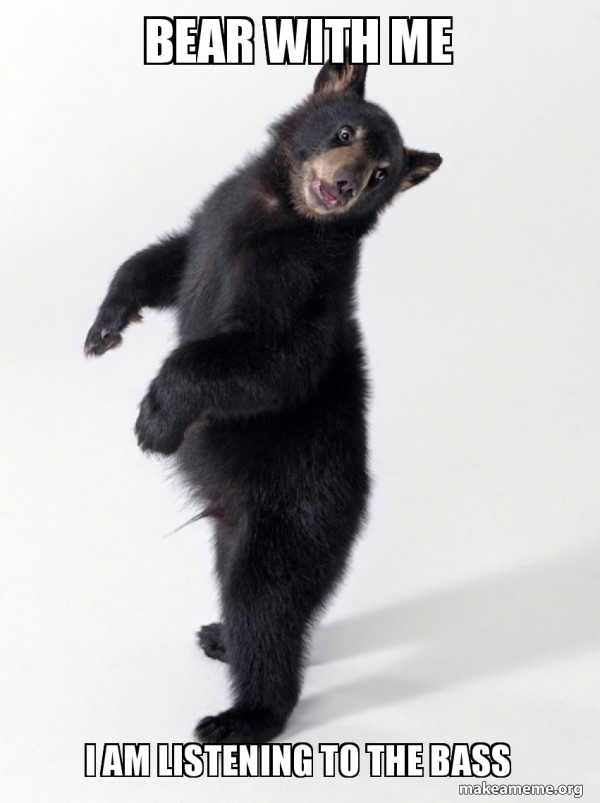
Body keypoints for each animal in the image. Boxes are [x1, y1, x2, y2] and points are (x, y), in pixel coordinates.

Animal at [84, 55, 441, 744]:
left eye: (383, 173)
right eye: (345, 132)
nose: (347, 184)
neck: (282, 212)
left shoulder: (299, 285)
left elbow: (270, 362)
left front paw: (154, 423)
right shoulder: (214, 217)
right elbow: (167, 259)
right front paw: (106, 325)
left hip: (289, 519)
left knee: (267, 606)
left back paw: (241, 716)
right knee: (270, 604)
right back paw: (221, 636)